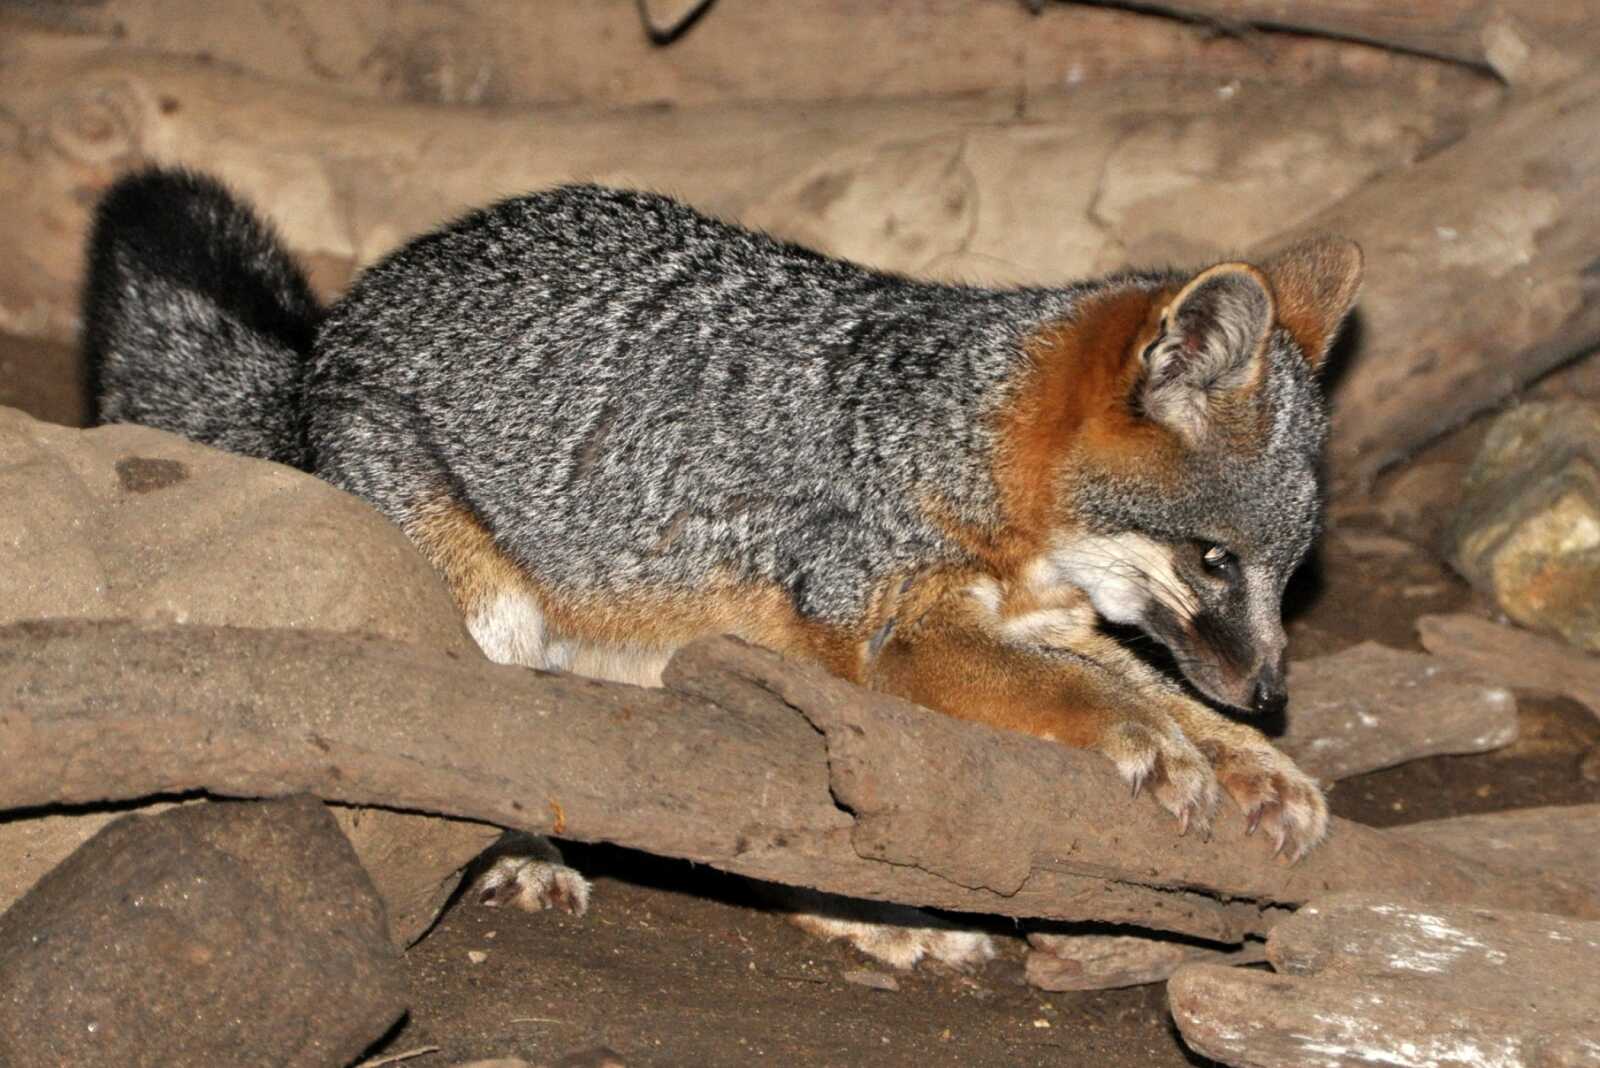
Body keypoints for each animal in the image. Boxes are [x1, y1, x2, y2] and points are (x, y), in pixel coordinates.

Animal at [84, 168, 1358, 965]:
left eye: (1287, 573)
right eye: (1213, 560)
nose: (1270, 694)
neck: (954, 434)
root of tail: (319, 348)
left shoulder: (1017, 625)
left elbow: (1122, 678)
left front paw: (1249, 761)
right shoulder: (887, 632)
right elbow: (1083, 694)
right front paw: (1155, 742)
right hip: (491, 617)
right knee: (489, 752)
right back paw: (529, 859)